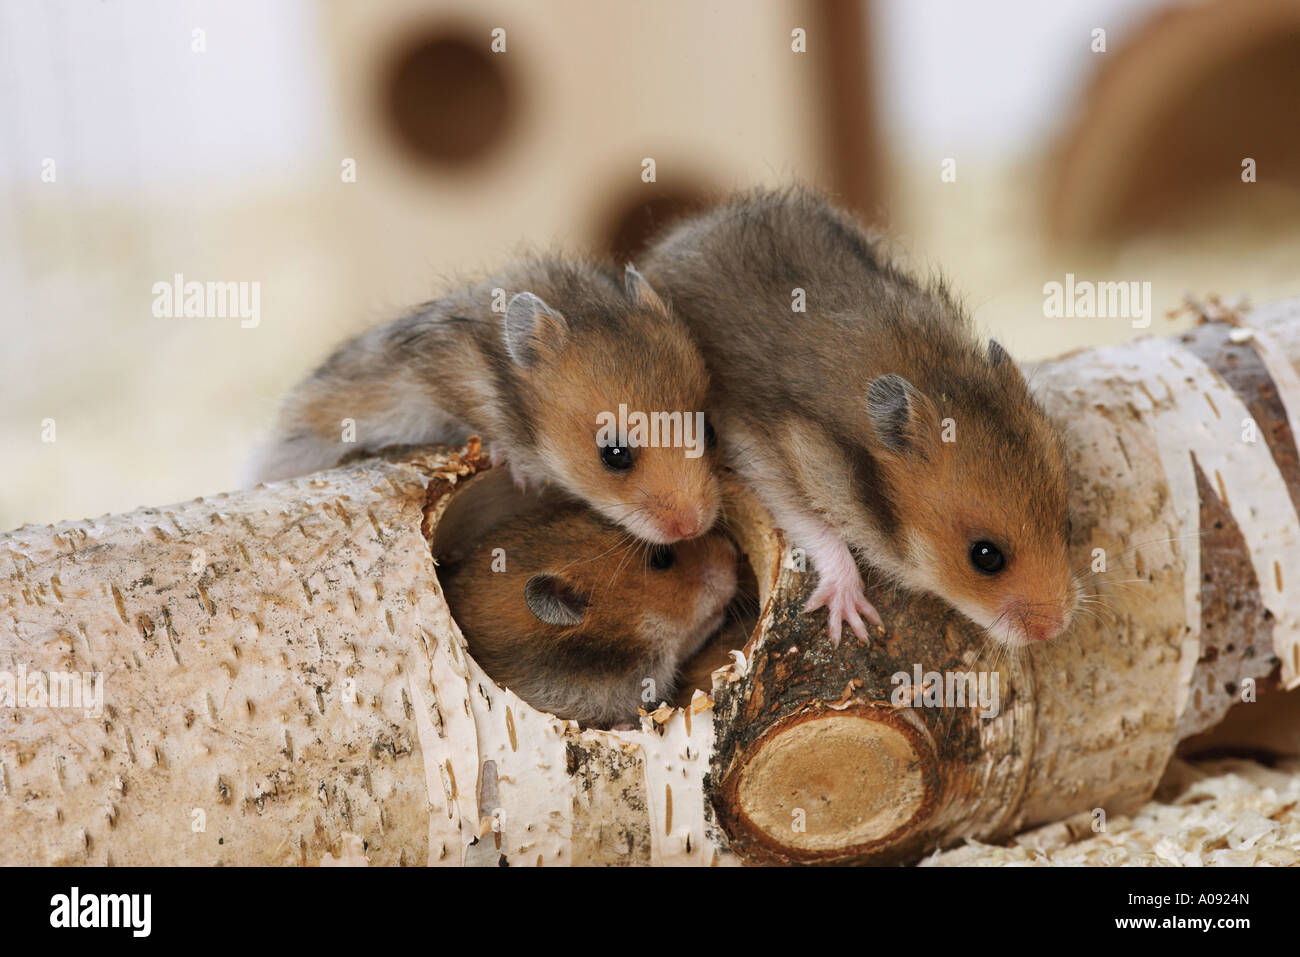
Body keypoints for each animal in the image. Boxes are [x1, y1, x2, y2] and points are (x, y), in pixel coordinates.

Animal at [640, 187, 1080, 648]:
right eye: (985, 556)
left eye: (1068, 525)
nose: (1056, 629)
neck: (930, 372)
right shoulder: (774, 459)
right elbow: (816, 529)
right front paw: (851, 621)